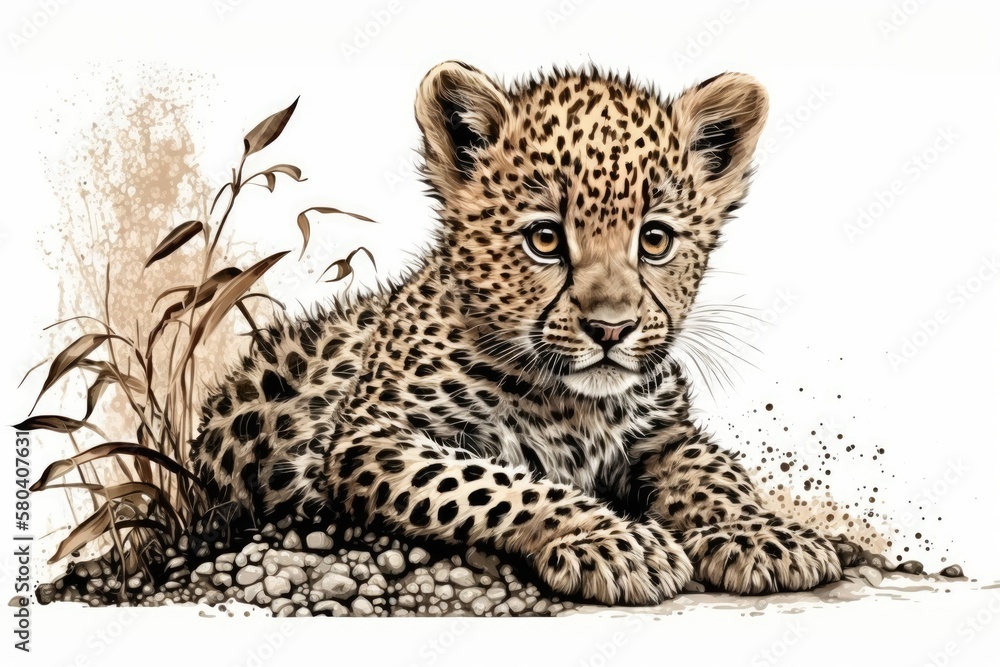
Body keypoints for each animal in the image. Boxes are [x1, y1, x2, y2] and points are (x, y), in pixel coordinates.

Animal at [188, 61, 844, 605]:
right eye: (545, 239)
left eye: (655, 239)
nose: (611, 328)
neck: (574, 404)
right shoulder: (373, 438)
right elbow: (494, 484)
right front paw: (612, 542)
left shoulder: (663, 435)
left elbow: (717, 474)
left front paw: (760, 535)